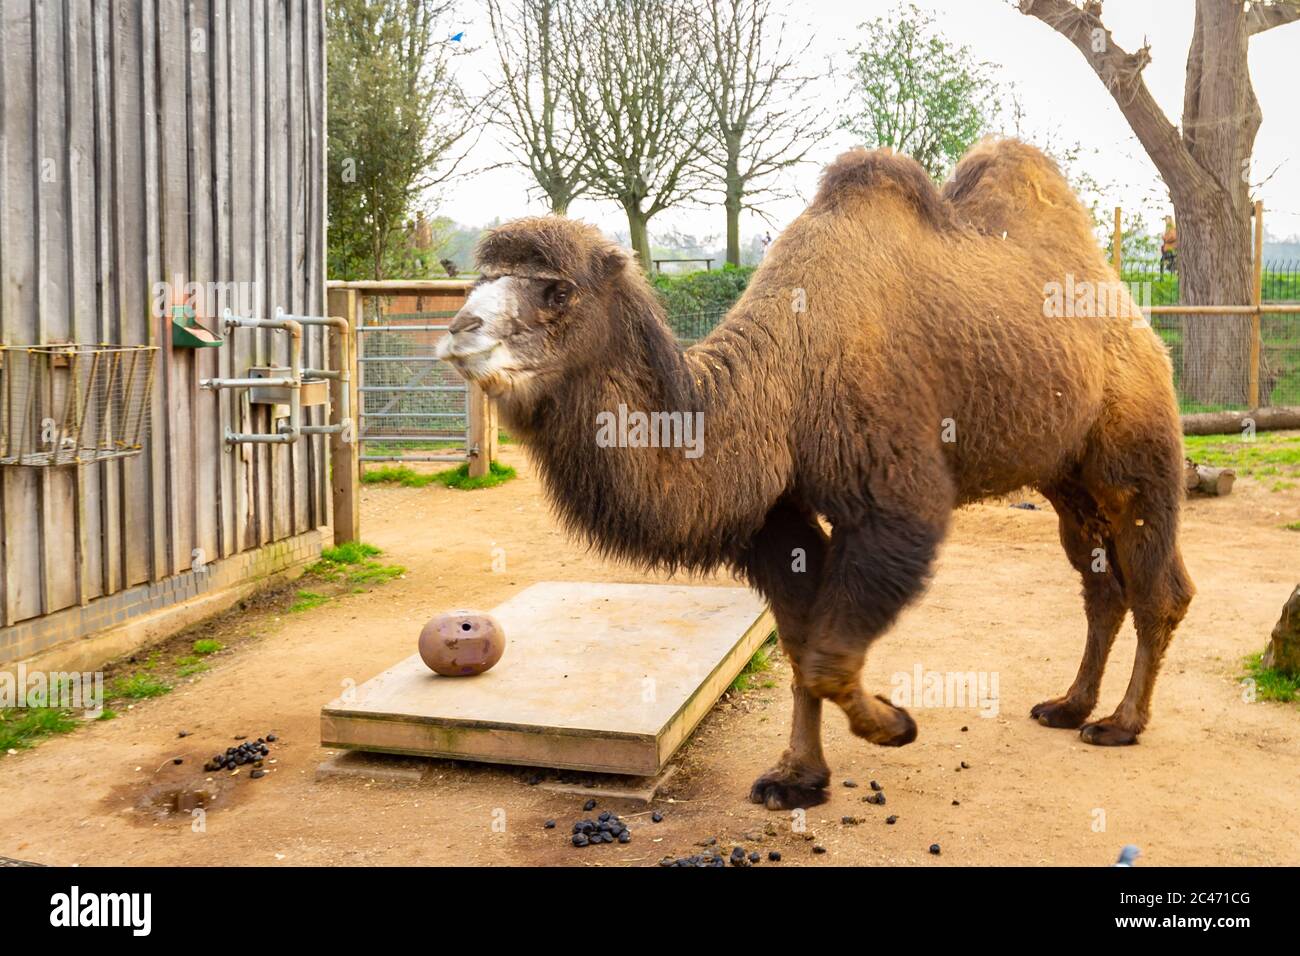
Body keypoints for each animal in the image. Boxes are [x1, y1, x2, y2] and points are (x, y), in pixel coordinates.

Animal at [434, 138, 1194, 810]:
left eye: (556, 290)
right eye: (479, 280)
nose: (460, 329)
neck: (787, 378)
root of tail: (1139, 322)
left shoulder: (893, 500)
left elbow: (830, 653)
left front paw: (893, 725)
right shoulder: (778, 517)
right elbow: (803, 648)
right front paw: (798, 777)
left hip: (1136, 451)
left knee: (1159, 587)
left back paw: (1120, 724)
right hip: (1066, 478)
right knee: (1103, 587)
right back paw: (1069, 705)